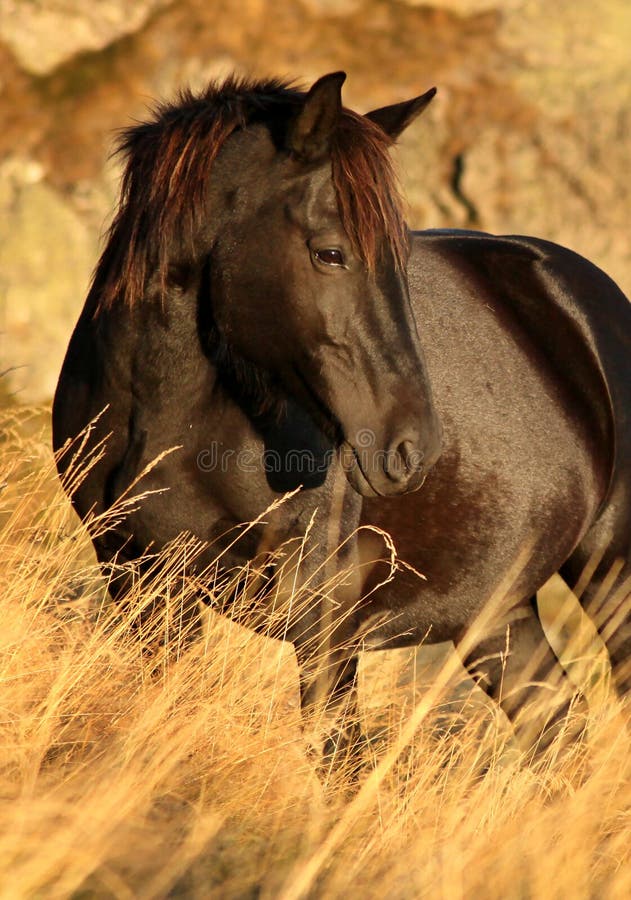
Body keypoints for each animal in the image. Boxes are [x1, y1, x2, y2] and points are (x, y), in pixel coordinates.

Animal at [53, 71, 631, 768]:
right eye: (330, 253)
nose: (411, 447)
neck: (169, 425)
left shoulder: (322, 614)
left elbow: (340, 759)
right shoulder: (137, 581)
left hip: (611, 577)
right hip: (500, 612)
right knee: (556, 723)